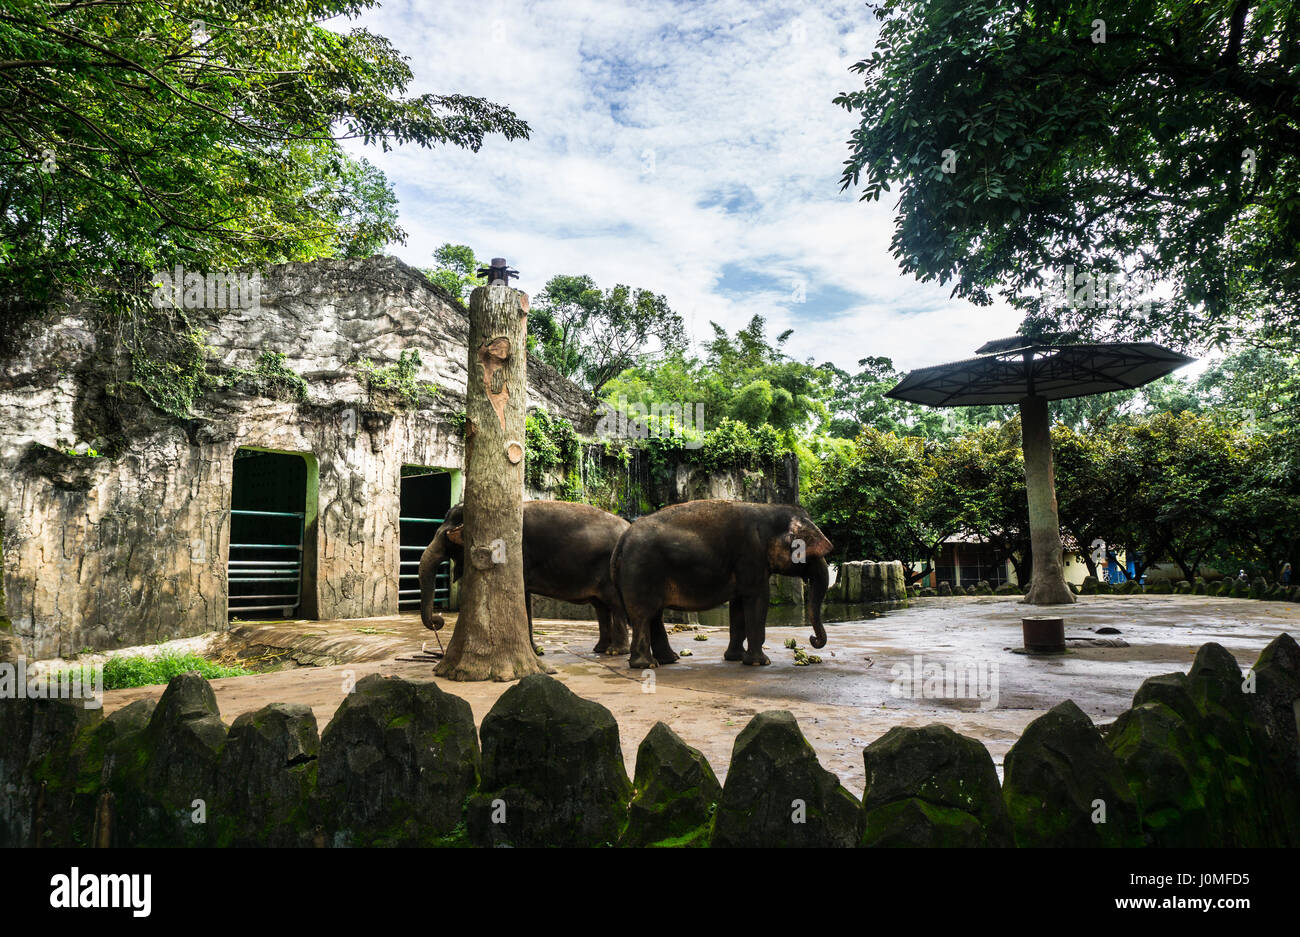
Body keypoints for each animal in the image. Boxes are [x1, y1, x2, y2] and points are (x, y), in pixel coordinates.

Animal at [418, 500, 632, 655]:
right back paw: (600, 649)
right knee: (601, 607)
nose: (438, 621)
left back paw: (616, 652)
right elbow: (524, 596)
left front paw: (536, 651)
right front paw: (537, 650)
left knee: (614, 603)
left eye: (446, 538)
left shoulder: (513, 554)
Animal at [611, 499, 834, 669]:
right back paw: (647, 665)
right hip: (641, 571)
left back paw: (668, 660)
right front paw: (760, 662)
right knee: (643, 615)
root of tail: (622, 539)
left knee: (654, 615)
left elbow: (738, 605)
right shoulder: (751, 556)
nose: (812, 640)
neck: (770, 510)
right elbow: (758, 599)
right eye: (812, 555)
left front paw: (736, 658)